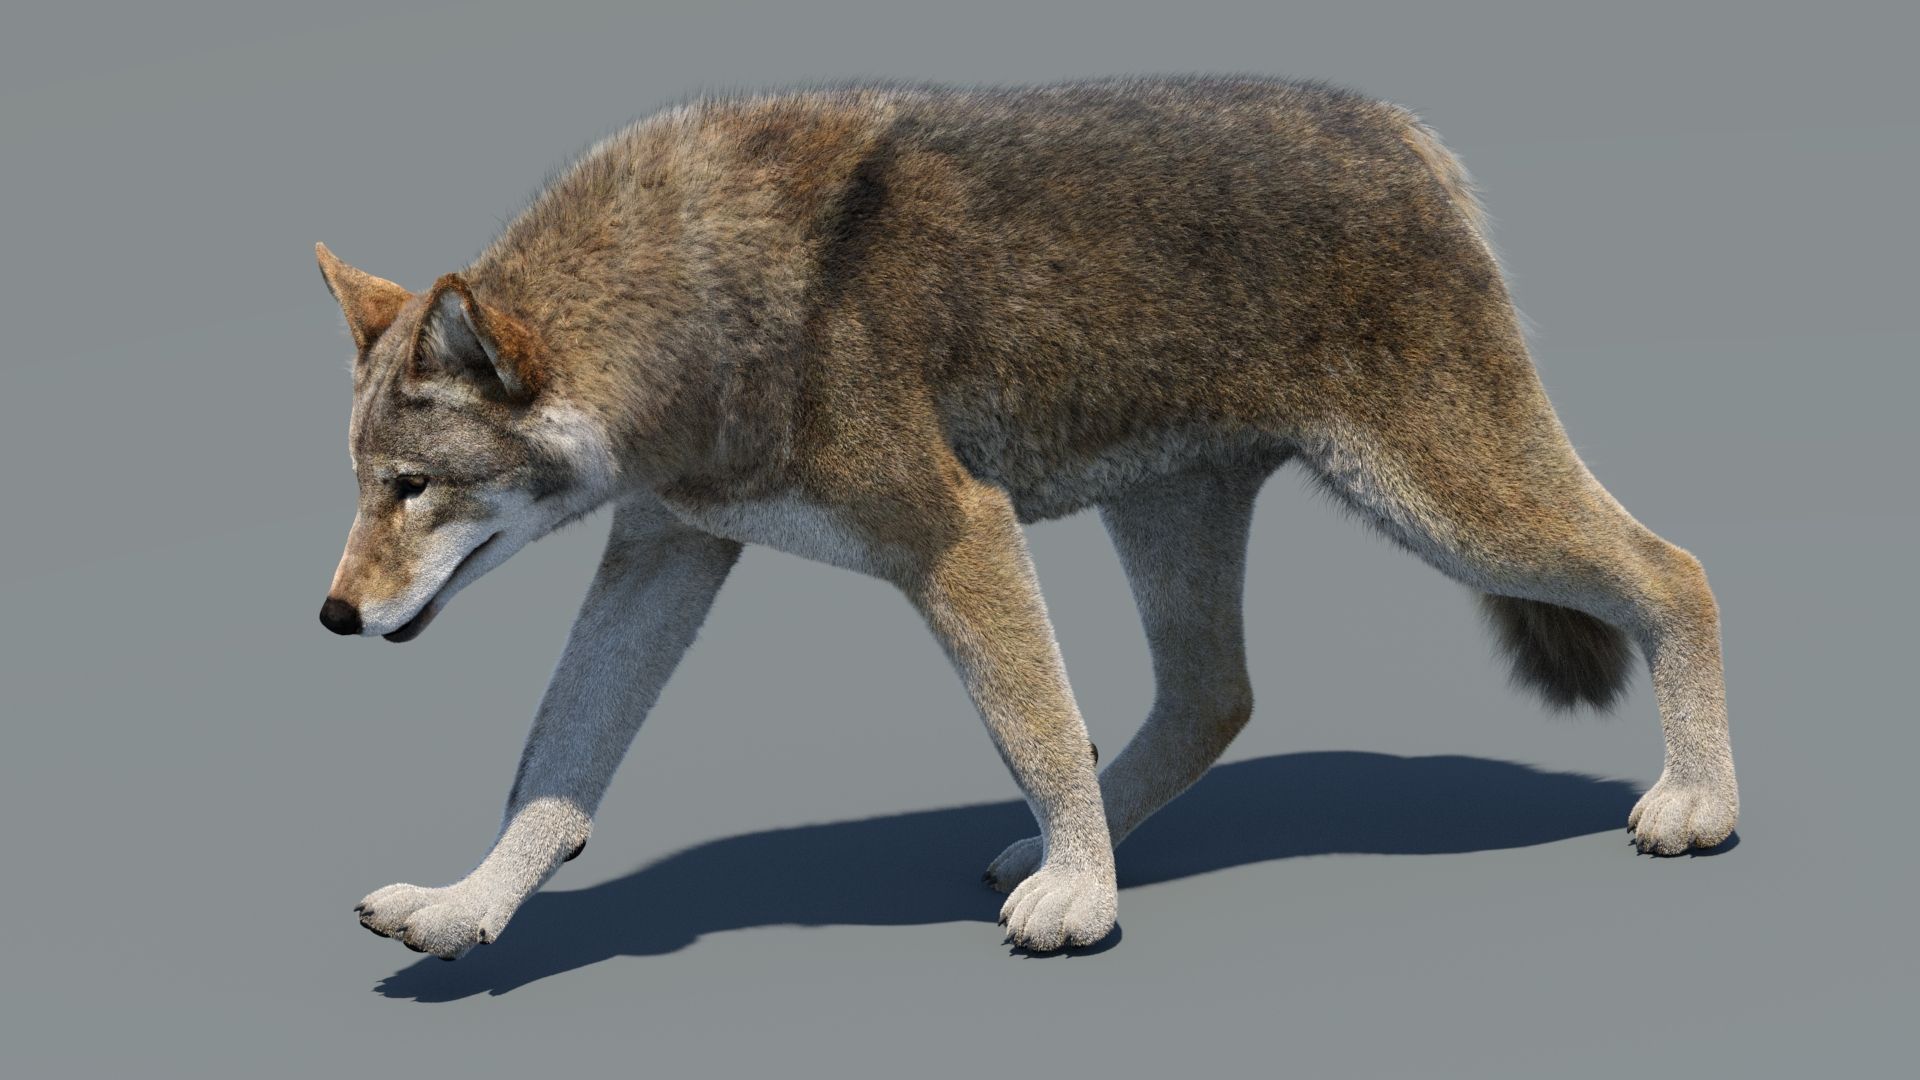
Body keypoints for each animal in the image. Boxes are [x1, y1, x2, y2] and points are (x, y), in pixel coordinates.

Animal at [317, 77, 1737, 959]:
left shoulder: (959, 532)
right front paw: (464, 911)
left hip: (1449, 504)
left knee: (1678, 570)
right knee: (1216, 698)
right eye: (360, 482)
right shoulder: (667, 550)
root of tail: (1402, 130)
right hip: (1174, 518)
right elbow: (554, 768)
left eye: (412, 487)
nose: (331, 614)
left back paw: (1698, 809)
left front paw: (1083, 904)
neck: (696, 305)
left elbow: (1037, 727)